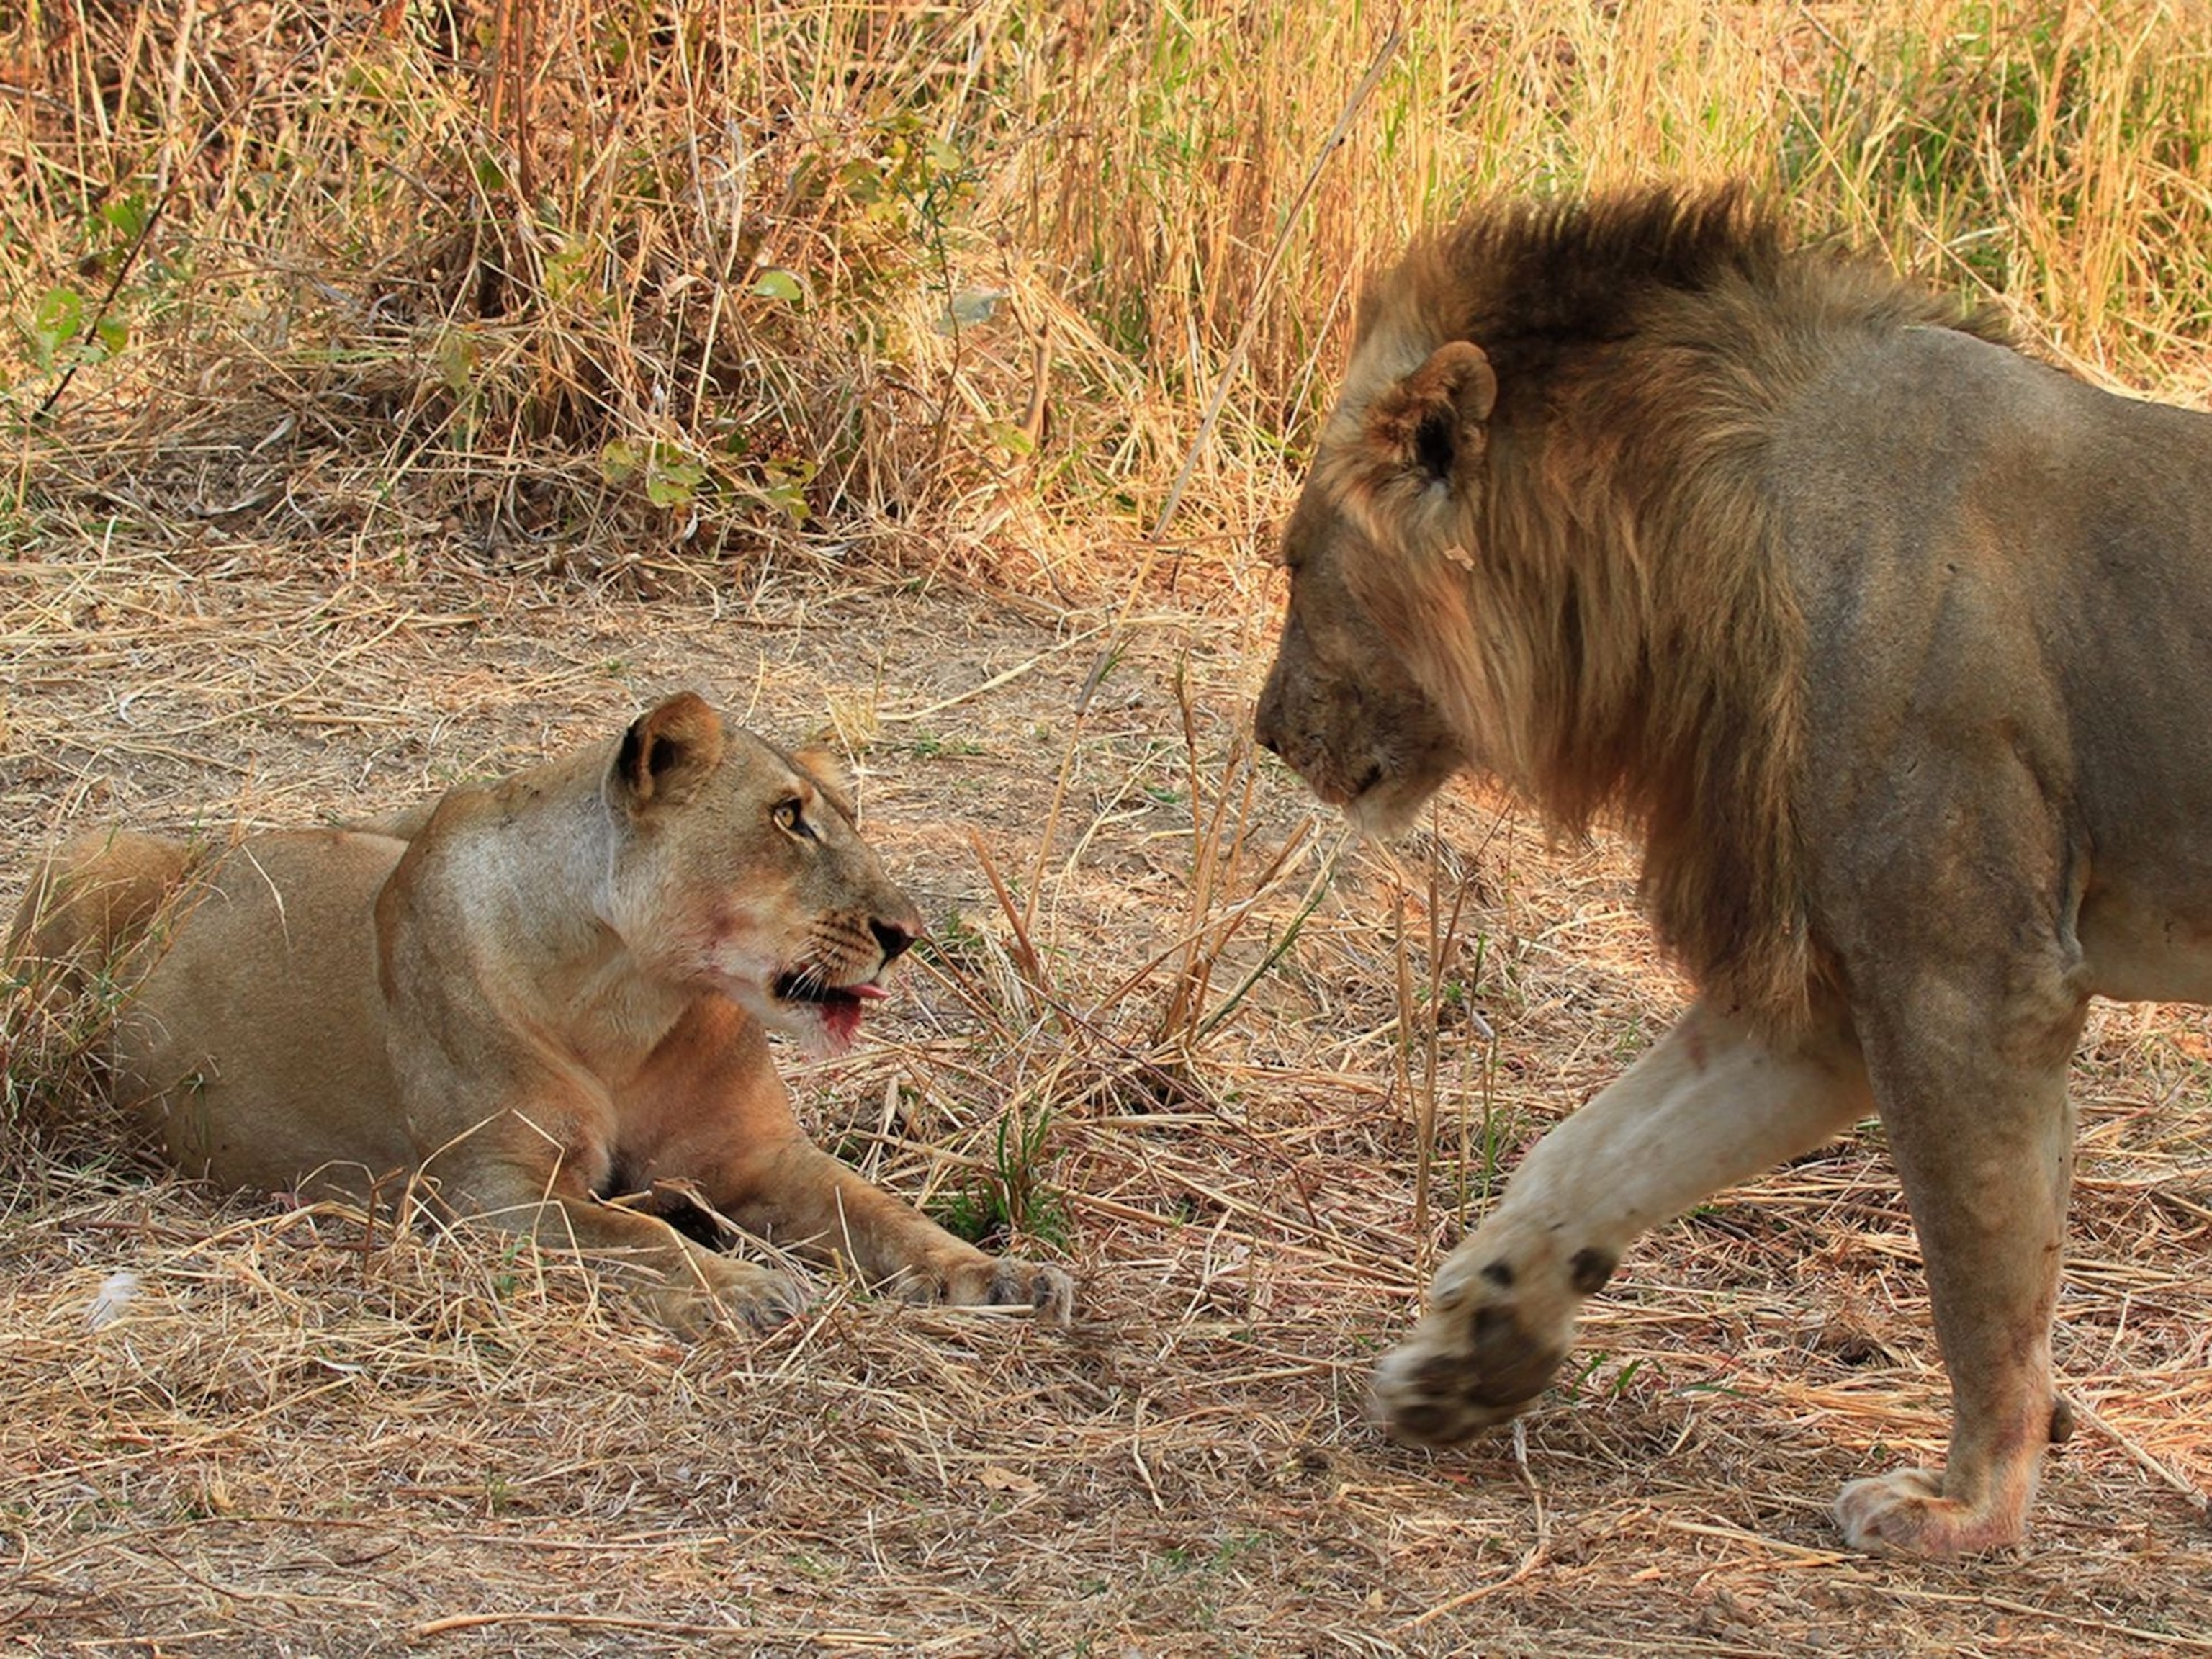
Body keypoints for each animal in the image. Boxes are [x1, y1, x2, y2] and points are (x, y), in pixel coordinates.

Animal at [7, 692, 1073, 1333]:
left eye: (848, 818)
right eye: (786, 819)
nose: (909, 931)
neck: (631, 998)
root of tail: (219, 848)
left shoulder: (759, 1156)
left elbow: (883, 1212)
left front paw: (1003, 1275)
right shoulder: (494, 1194)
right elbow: (641, 1241)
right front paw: (750, 1285)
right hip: (89, 852)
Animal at [1255, 184, 2212, 1557]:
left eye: (1293, 562)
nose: (1267, 733)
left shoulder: (1963, 976)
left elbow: (1982, 1271)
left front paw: (1967, 1506)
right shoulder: (1819, 995)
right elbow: (1590, 1152)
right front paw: (1476, 1352)